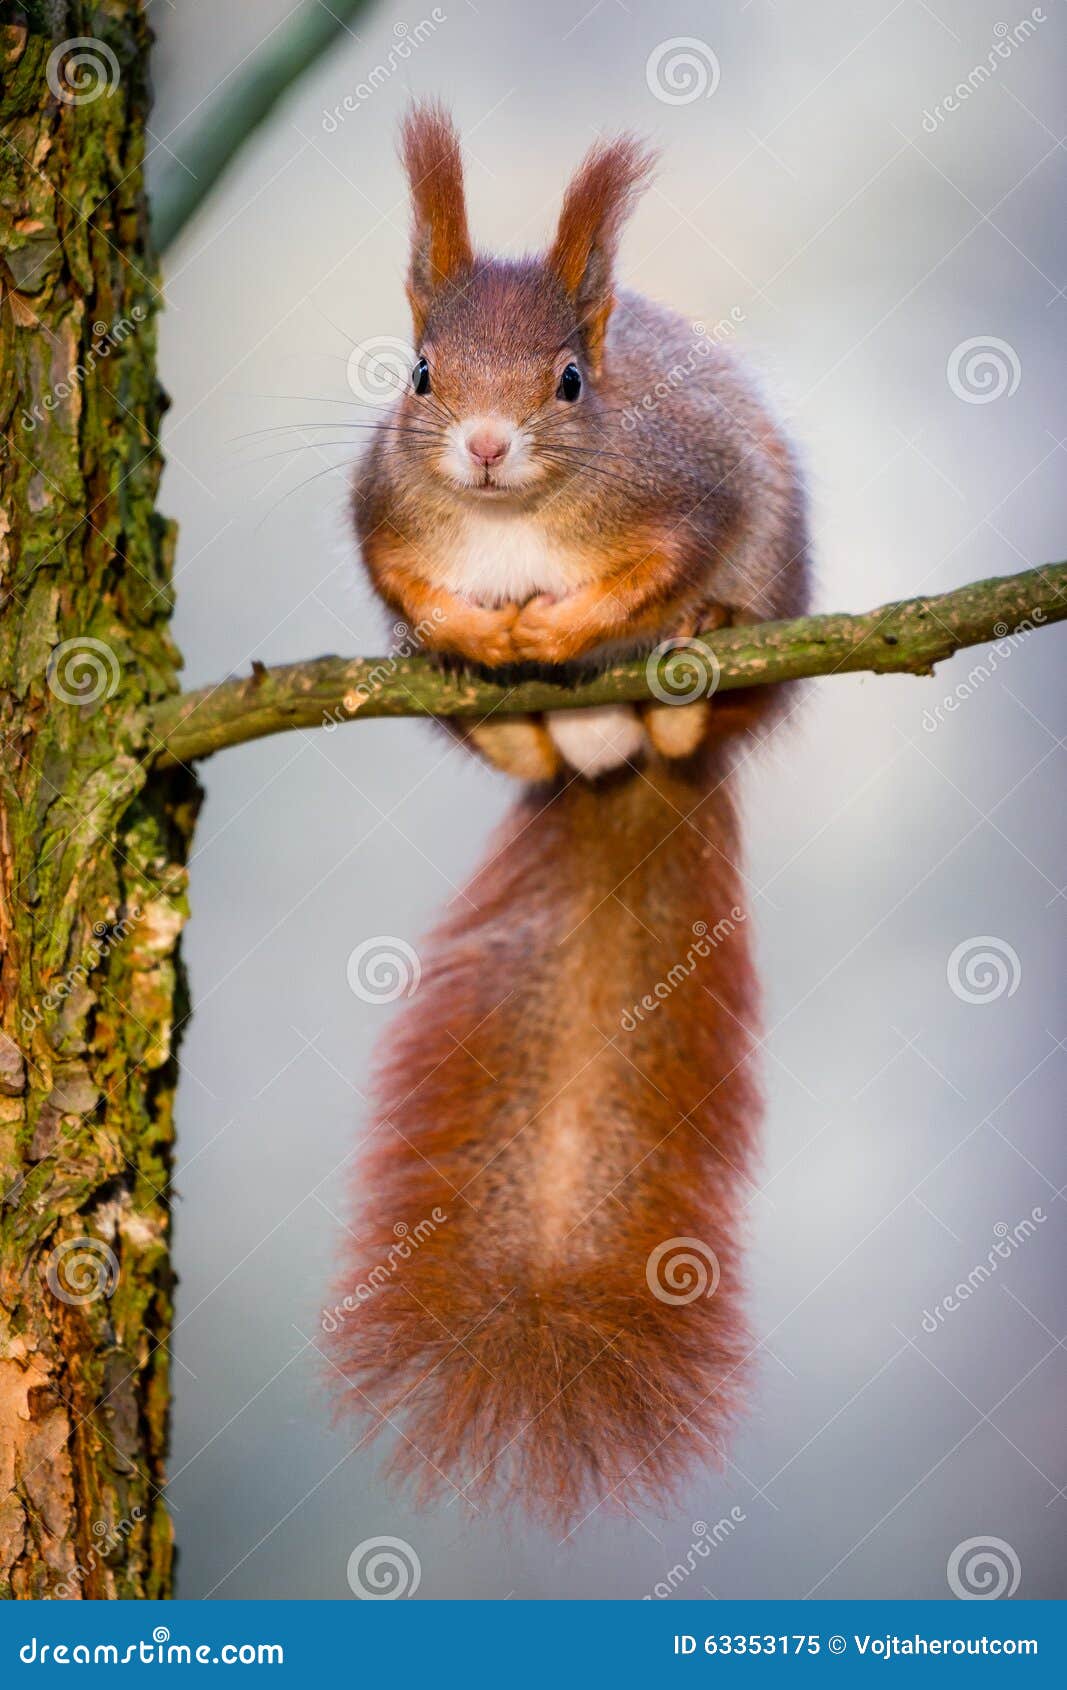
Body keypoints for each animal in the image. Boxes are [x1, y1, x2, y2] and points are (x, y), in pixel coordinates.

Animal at [326, 102, 810, 1527]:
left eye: (571, 384)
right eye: (419, 374)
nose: (485, 448)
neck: (511, 516)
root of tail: (613, 764)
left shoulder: (688, 484)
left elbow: (654, 561)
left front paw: (559, 625)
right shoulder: (378, 512)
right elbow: (401, 573)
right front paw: (468, 628)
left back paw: (686, 667)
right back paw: (503, 705)